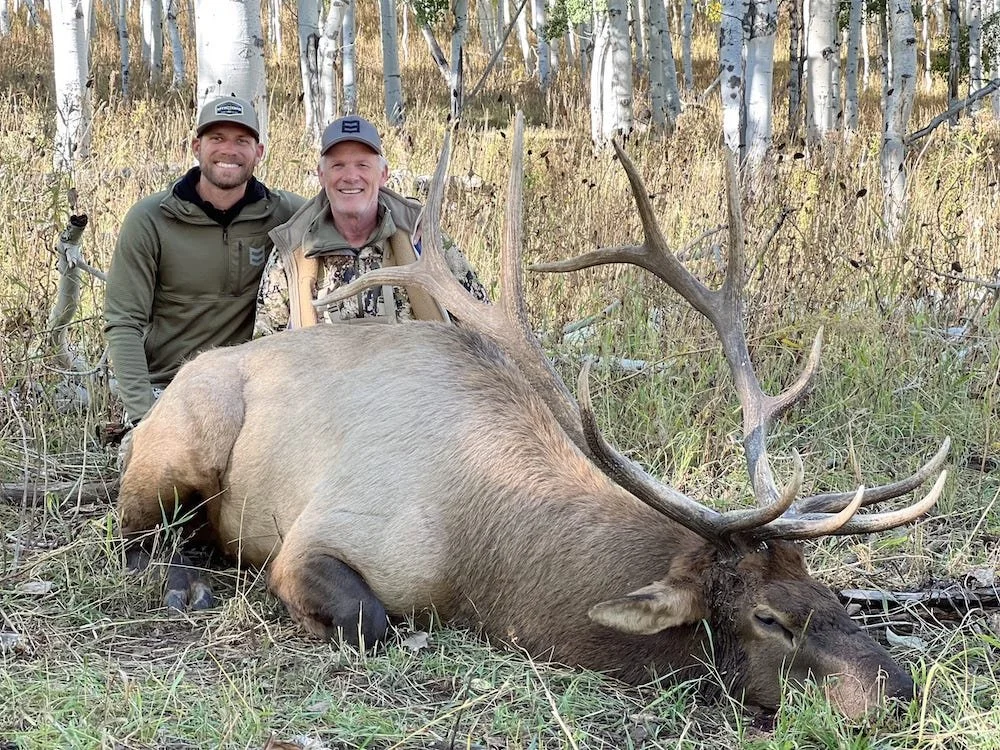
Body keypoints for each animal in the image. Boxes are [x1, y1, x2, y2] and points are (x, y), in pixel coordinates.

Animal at [116, 113, 950, 718]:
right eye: (769, 617)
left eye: (830, 596)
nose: (900, 692)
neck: (479, 559)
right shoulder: (315, 540)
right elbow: (370, 621)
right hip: (182, 439)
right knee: (131, 531)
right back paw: (184, 579)